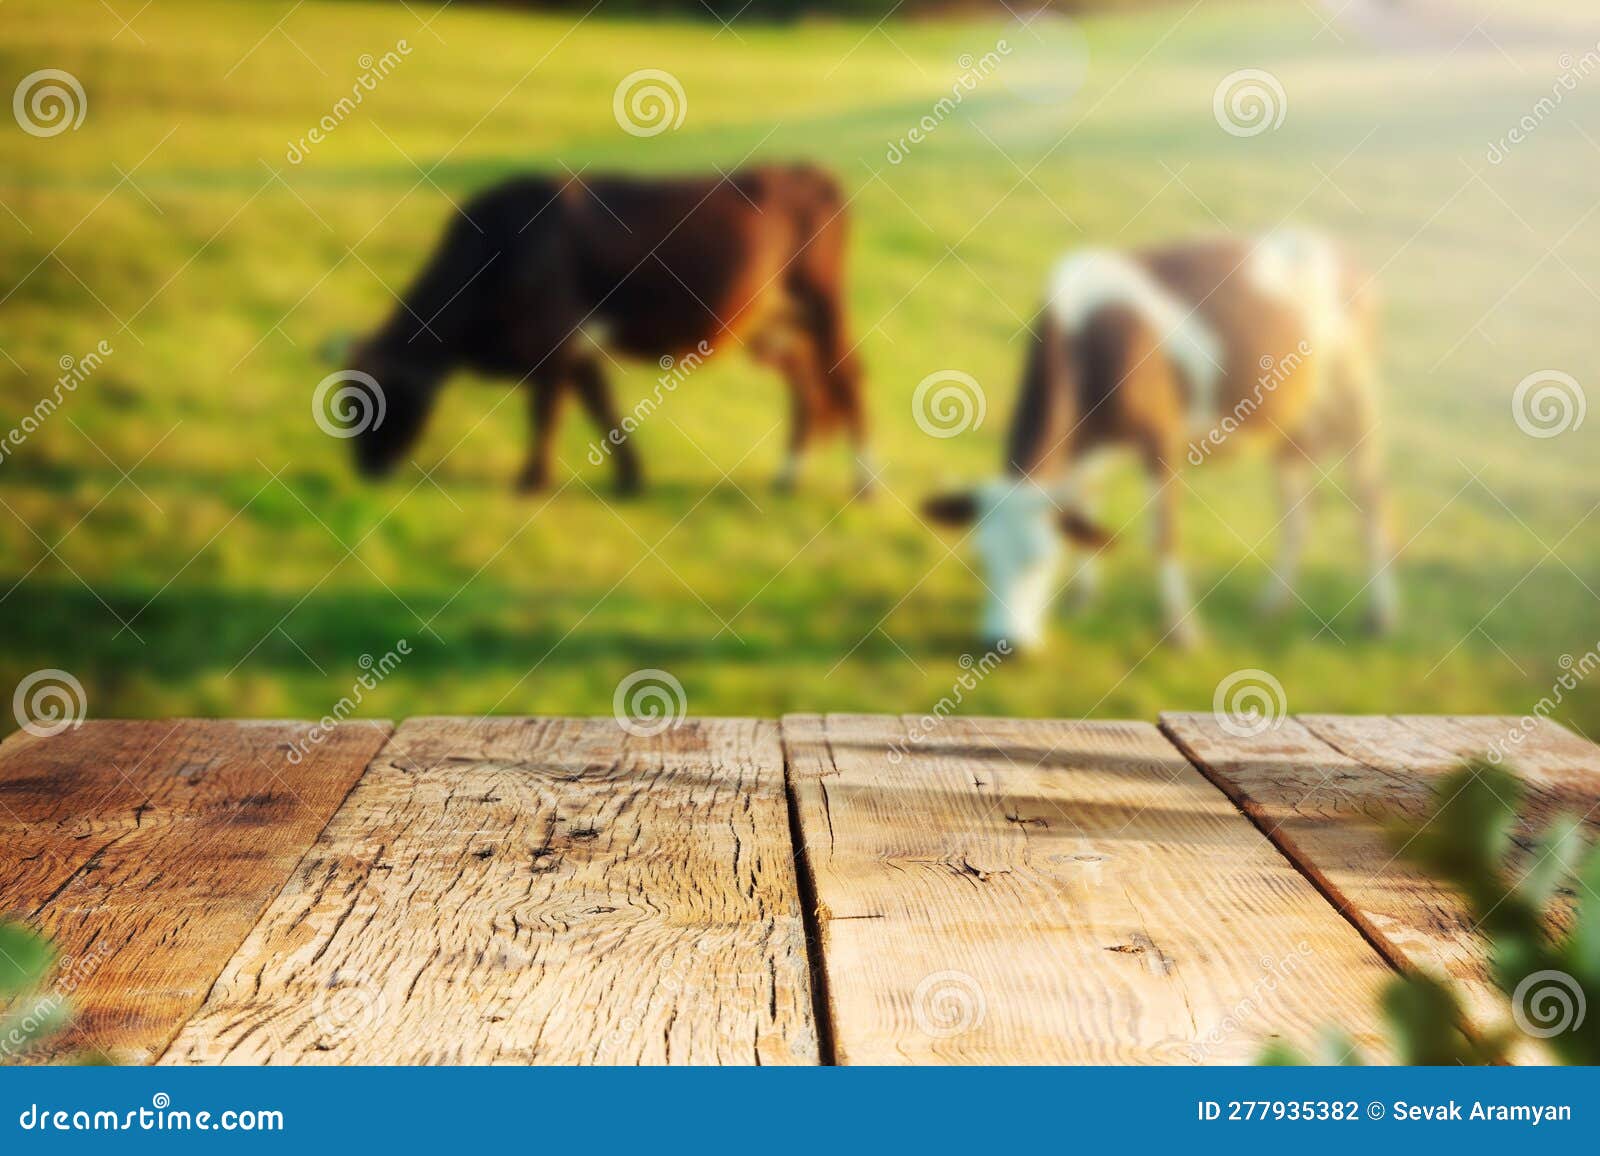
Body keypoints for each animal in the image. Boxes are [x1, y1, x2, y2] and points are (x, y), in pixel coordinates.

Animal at [333, 164, 870, 496]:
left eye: (369, 404)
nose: (364, 471)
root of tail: (806, 171)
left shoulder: (553, 338)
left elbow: (547, 411)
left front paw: (530, 482)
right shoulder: (579, 347)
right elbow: (600, 405)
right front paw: (631, 480)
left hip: (823, 307)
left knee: (847, 381)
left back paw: (864, 487)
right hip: (776, 325)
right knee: (806, 388)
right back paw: (786, 479)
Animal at [923, 230, 1399, 651]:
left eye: (1040, 559)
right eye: (981, 559)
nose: (1001, 644)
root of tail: (1337, 247)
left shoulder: (1162, 437)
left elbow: (1164, 534)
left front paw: (1181, 632)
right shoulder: (1087, 448)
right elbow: (1085, 513)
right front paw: (1082, 599)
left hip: (1356, 398)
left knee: (1370, 499)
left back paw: (1379, 618)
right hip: (1293, 418)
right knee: (1298, 510)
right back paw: (1272, 606)